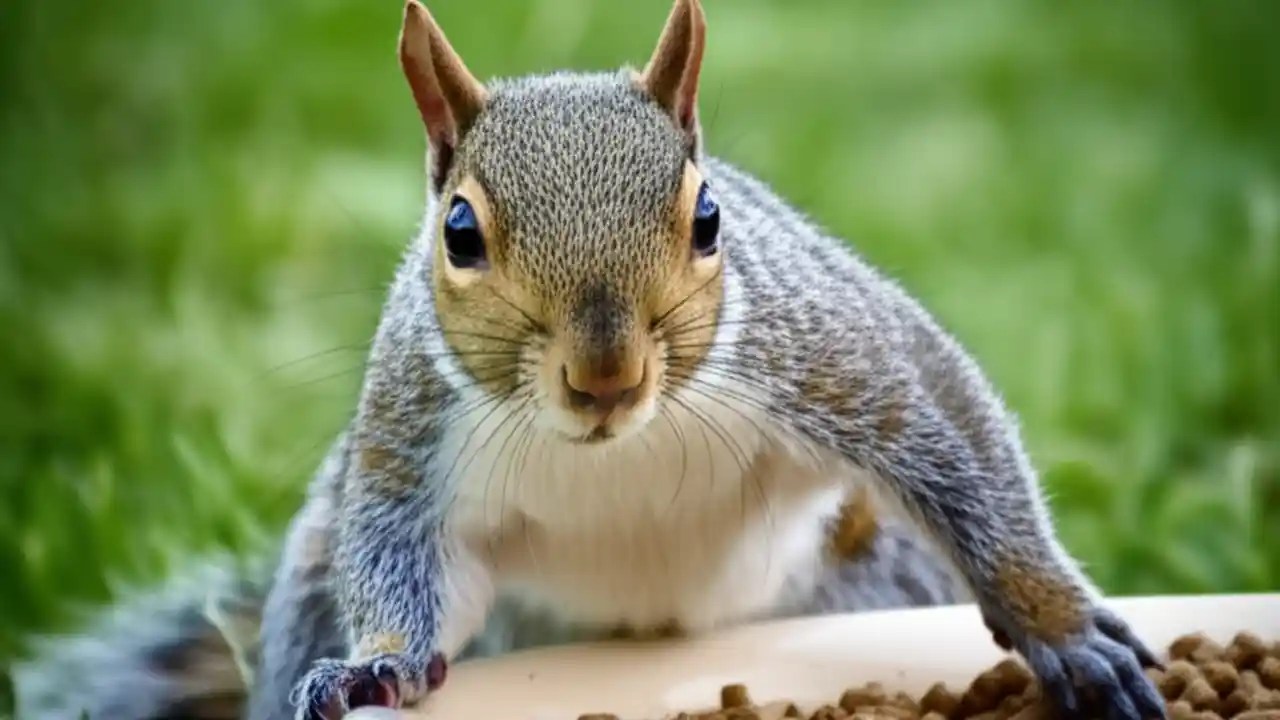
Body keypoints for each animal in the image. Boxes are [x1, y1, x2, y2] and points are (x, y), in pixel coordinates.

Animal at [13, 1, 1168, 719]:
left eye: (709, 218)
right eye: (458, 232)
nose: (605, 379)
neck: (622, 446)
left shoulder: (833, 352)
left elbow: (948, 430)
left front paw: (1062, 629)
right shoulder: (407, 434)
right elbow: (399, 557)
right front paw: (380, 666)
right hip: (313, 588)